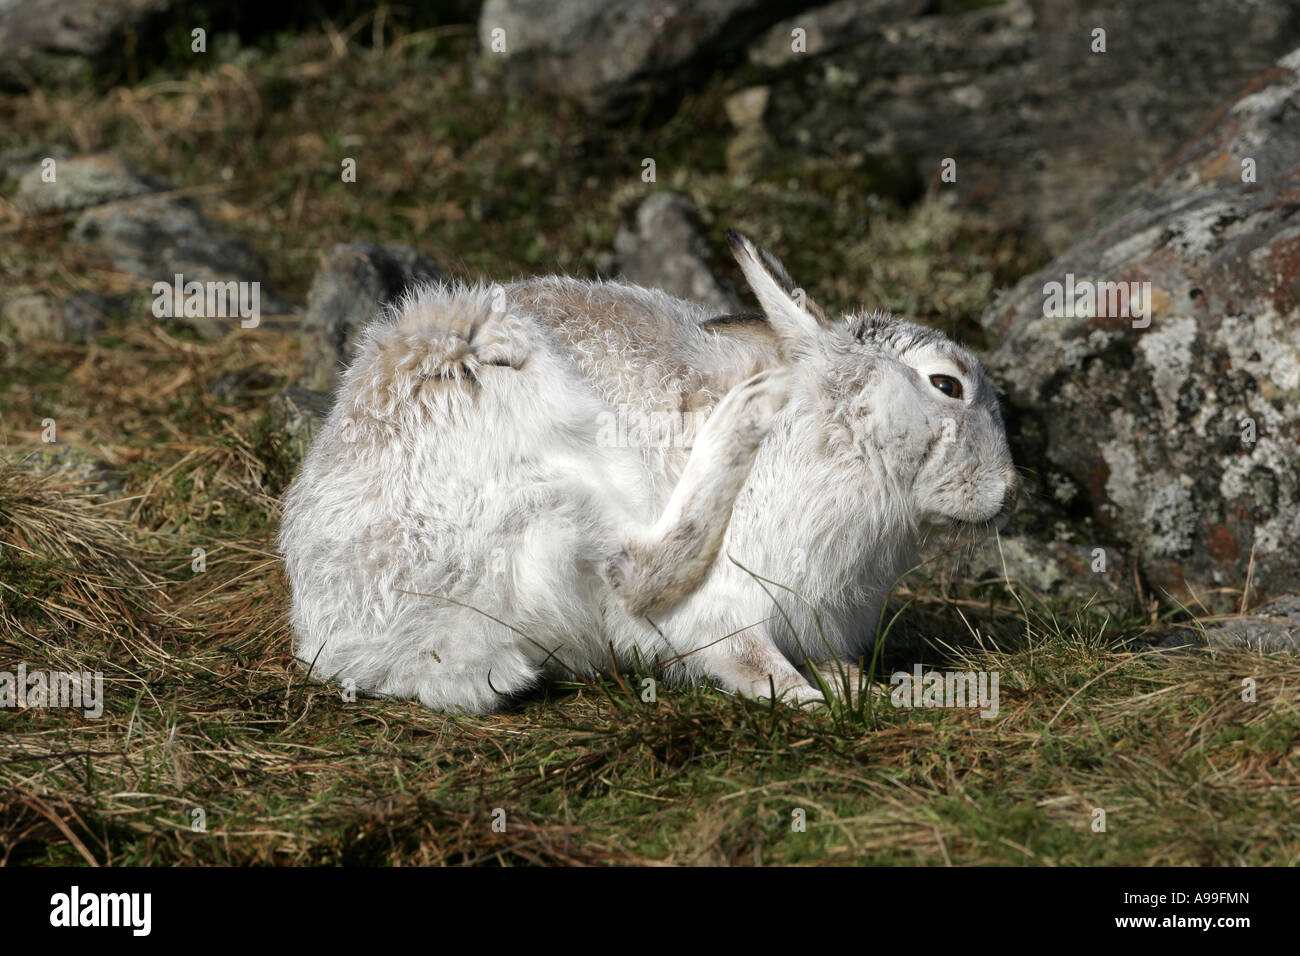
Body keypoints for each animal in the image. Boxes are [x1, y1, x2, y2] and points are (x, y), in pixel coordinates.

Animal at [278, 231, 1018, 713]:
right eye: (947, 385)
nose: (1011, 492)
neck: (832, 429)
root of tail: (336, 631)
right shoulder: (728, 609)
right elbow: (744, 656)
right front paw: (805, 700)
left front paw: (860, 688)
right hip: (534, 448)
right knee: (631, 575)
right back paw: (741, 417)